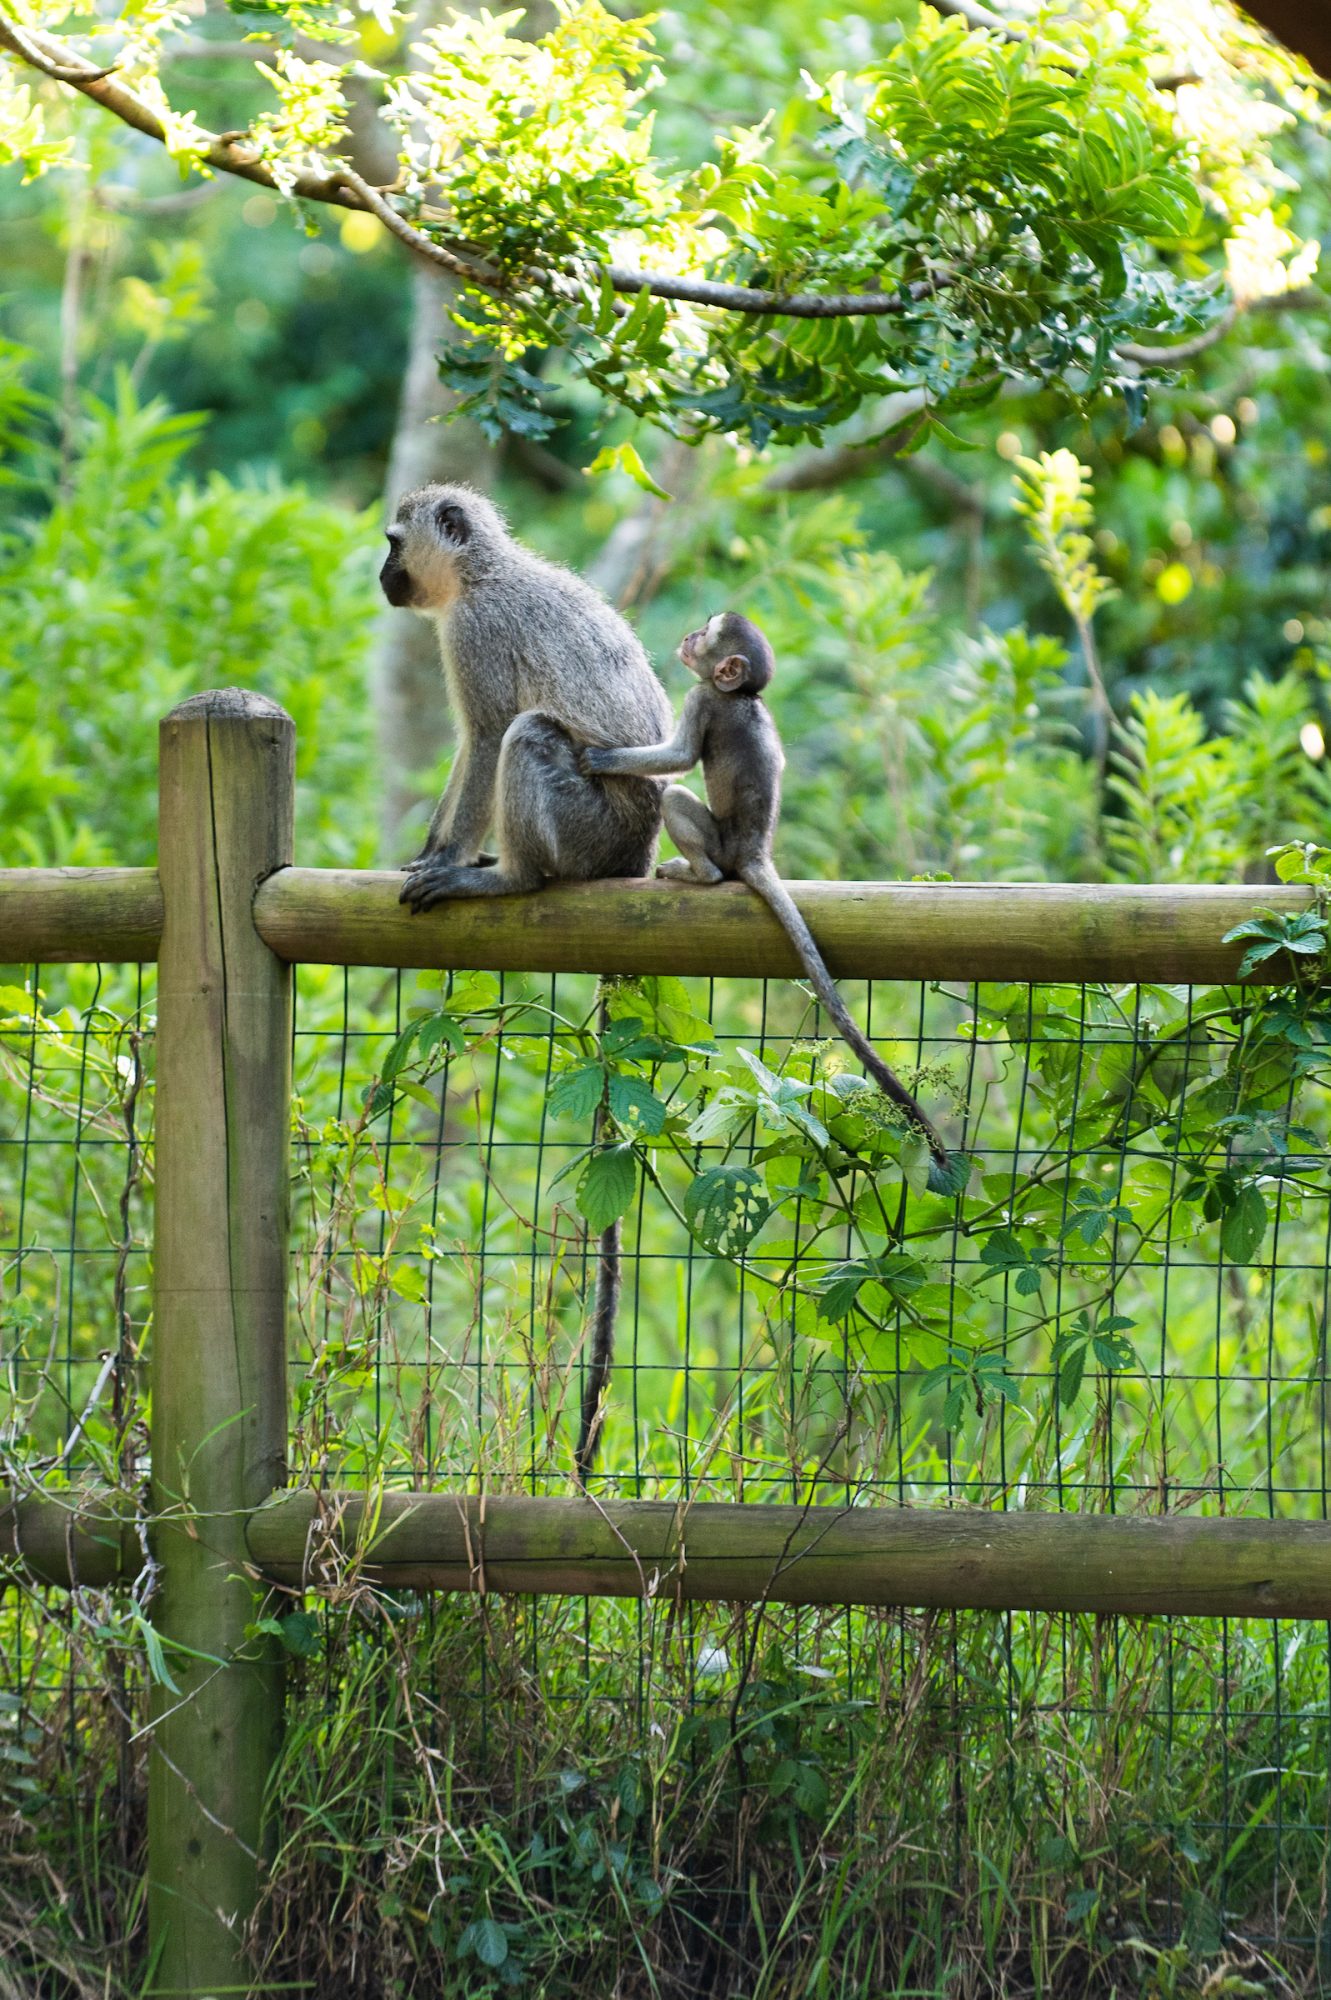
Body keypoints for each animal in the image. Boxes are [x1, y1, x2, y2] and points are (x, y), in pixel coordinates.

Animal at [378, 483, 675, 1491]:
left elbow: (480, 739)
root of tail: (635, 857)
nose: (382, 574)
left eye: (393, 542)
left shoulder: (474, 635)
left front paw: (447, 857)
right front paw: (427, 851)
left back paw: (505, 879)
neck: (484, 572)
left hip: (584, 829)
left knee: (524, 736)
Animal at [580, 612, 953, 1174]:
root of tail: (755, 852)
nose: (687, 638)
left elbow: (678, 758)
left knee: (677, 798)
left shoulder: (703, 697)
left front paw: (600, 758)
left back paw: (701, 874)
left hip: (720, 846)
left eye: (706, 636)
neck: (740, 696)